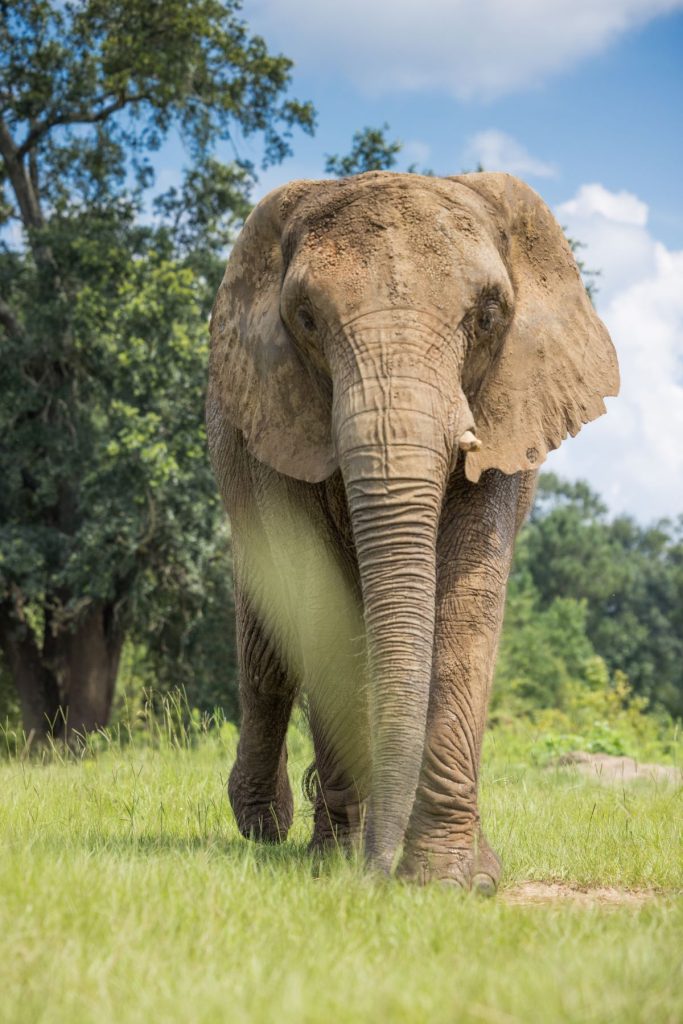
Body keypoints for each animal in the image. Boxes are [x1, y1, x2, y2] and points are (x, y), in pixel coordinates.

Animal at [206, 171, 619, 891]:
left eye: (488, 316)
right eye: (306, 319)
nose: (377, 875)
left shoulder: (508, 407)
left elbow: (468, 607)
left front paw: (449, 881)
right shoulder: (279, 419)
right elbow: (318, 604)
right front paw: (339, 865)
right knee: (267, 652)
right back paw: (267, 825)